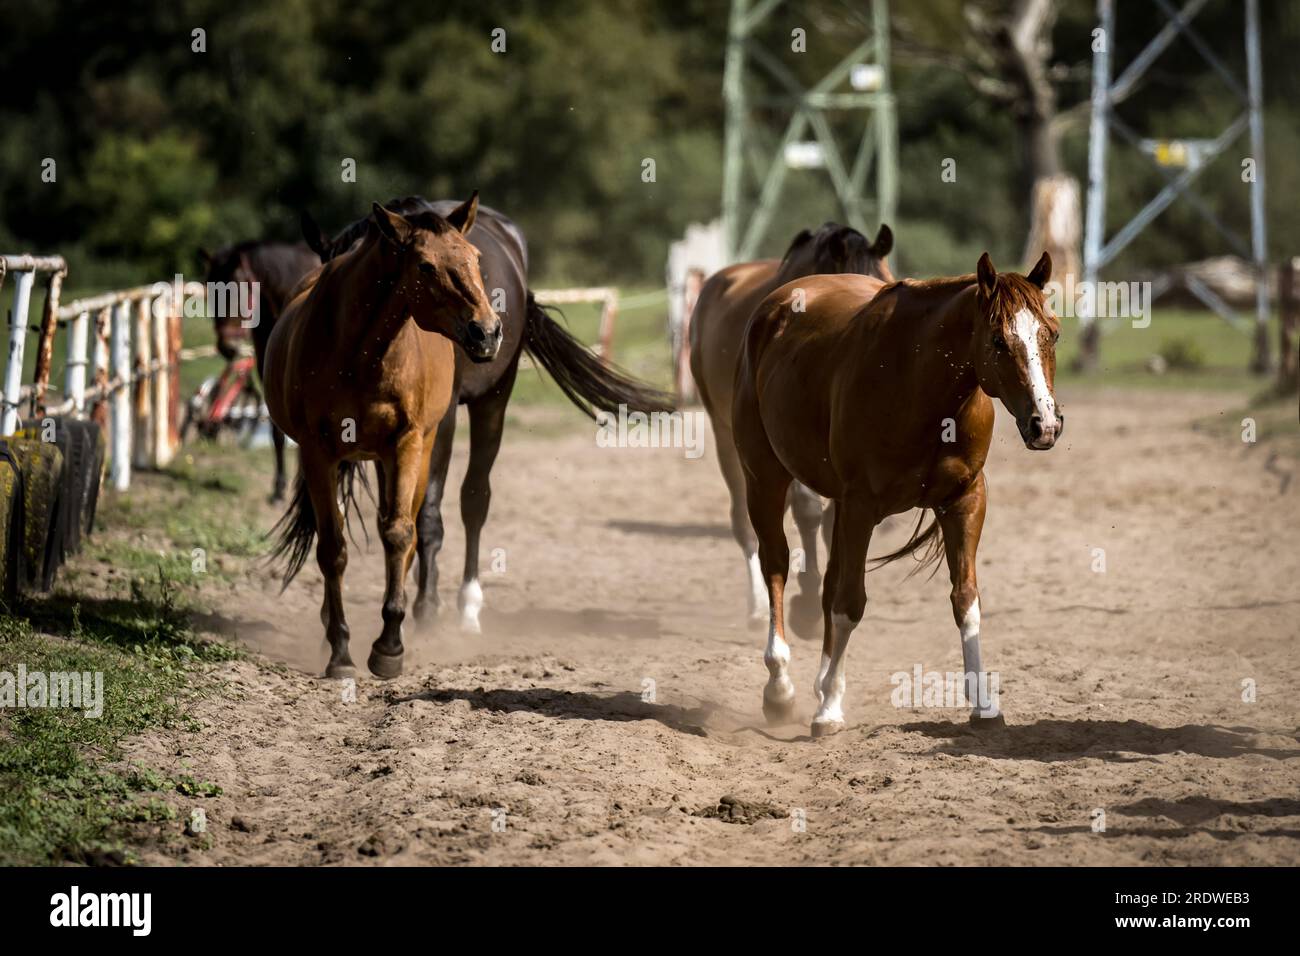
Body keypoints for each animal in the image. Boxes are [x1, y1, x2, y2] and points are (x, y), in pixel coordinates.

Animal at [265, 196, 506, 679]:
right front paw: (340, 650)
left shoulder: (407, 444)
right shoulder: (318, 453)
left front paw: (389, 647)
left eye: (475, 258)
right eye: (426, 266)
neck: (362, 352)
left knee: (405, 533)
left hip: (412, 454)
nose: (487, 332)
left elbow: (398, 535)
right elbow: (332, 547)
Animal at [299, 195, 672, 636]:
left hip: (493, 400)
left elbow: (430, 513)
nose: (486, 332)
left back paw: (467, 605)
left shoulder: (438, 422)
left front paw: (426, 607)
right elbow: (392, 515)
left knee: (474, 498)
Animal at [688, 222, 894, 638]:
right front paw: (809, 605)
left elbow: (831, 520)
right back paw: (756, 607)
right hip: (727, 435)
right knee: (744, 520)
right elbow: (809, 511)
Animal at [732, 252, 1063, 737]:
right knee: (776, 564)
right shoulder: (861, 505)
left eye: (1052, 333)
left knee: (828, 582)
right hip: (765, 479)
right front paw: (829, 710)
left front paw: (984, 705)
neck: (919, 383)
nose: (1046, 424)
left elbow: (966, 600)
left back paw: (819, 682)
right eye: (999, 341)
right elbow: (850, 603)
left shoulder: (964, 501)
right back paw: (781, 688)